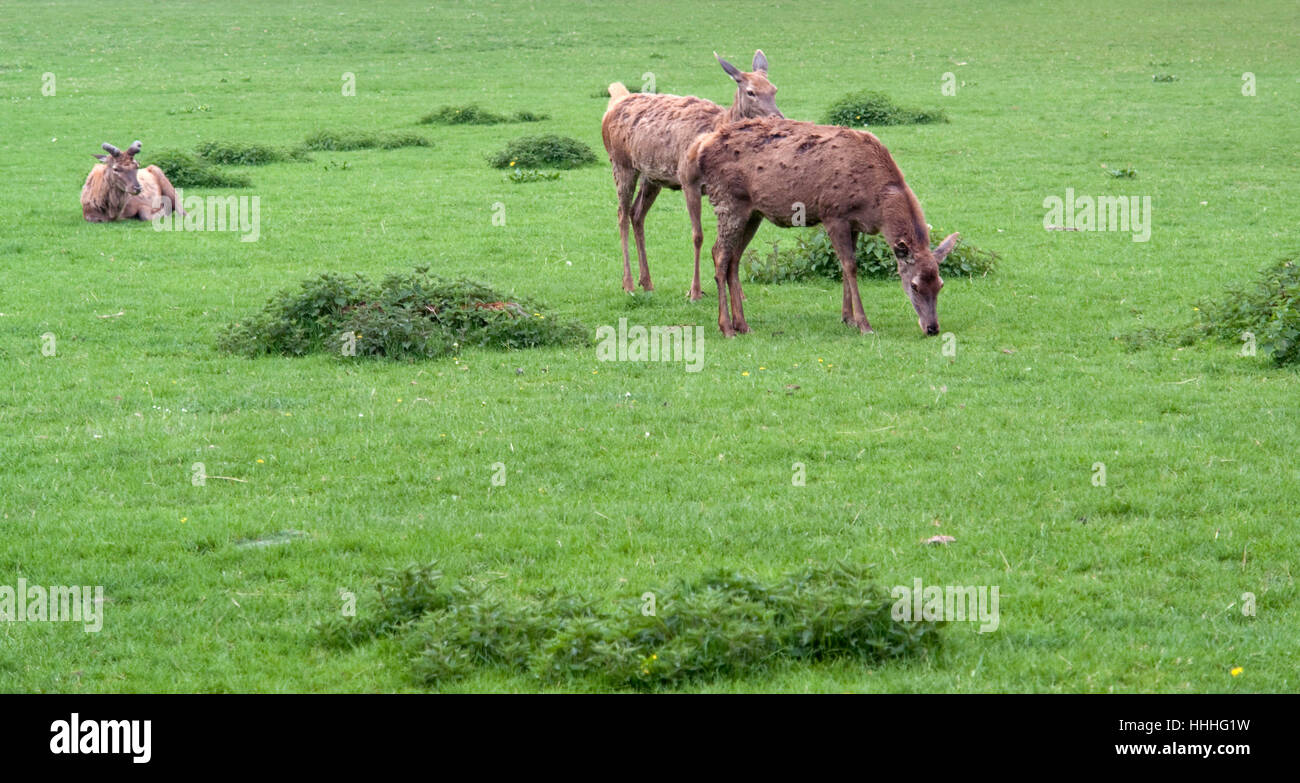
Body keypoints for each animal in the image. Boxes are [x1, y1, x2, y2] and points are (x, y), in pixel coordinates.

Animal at [601, 50, 782, 300]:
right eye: (750, 91)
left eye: (774, 89)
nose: (778, 118)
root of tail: (614, 103)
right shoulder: (689, 181)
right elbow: (698, 236)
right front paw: (695, 291)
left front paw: (741, 294)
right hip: (621, 163)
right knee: (621, 214)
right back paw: (628, 284)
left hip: (652, 176)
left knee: (636, 214)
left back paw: (647, 282)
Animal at [681, 118, 960, 338]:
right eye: (914, 285)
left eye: (940, 284)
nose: (932, 328)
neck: (876, 205)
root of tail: (700, 145)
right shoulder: (833, 213)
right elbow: (850, 266)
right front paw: (864, 324)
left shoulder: (853, 223)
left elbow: (847, 266)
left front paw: (847, 318)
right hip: (729, 201)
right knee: (719, 254)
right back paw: (726, 327)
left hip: (752, 212)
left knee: (735, 259)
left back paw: (743, 325)